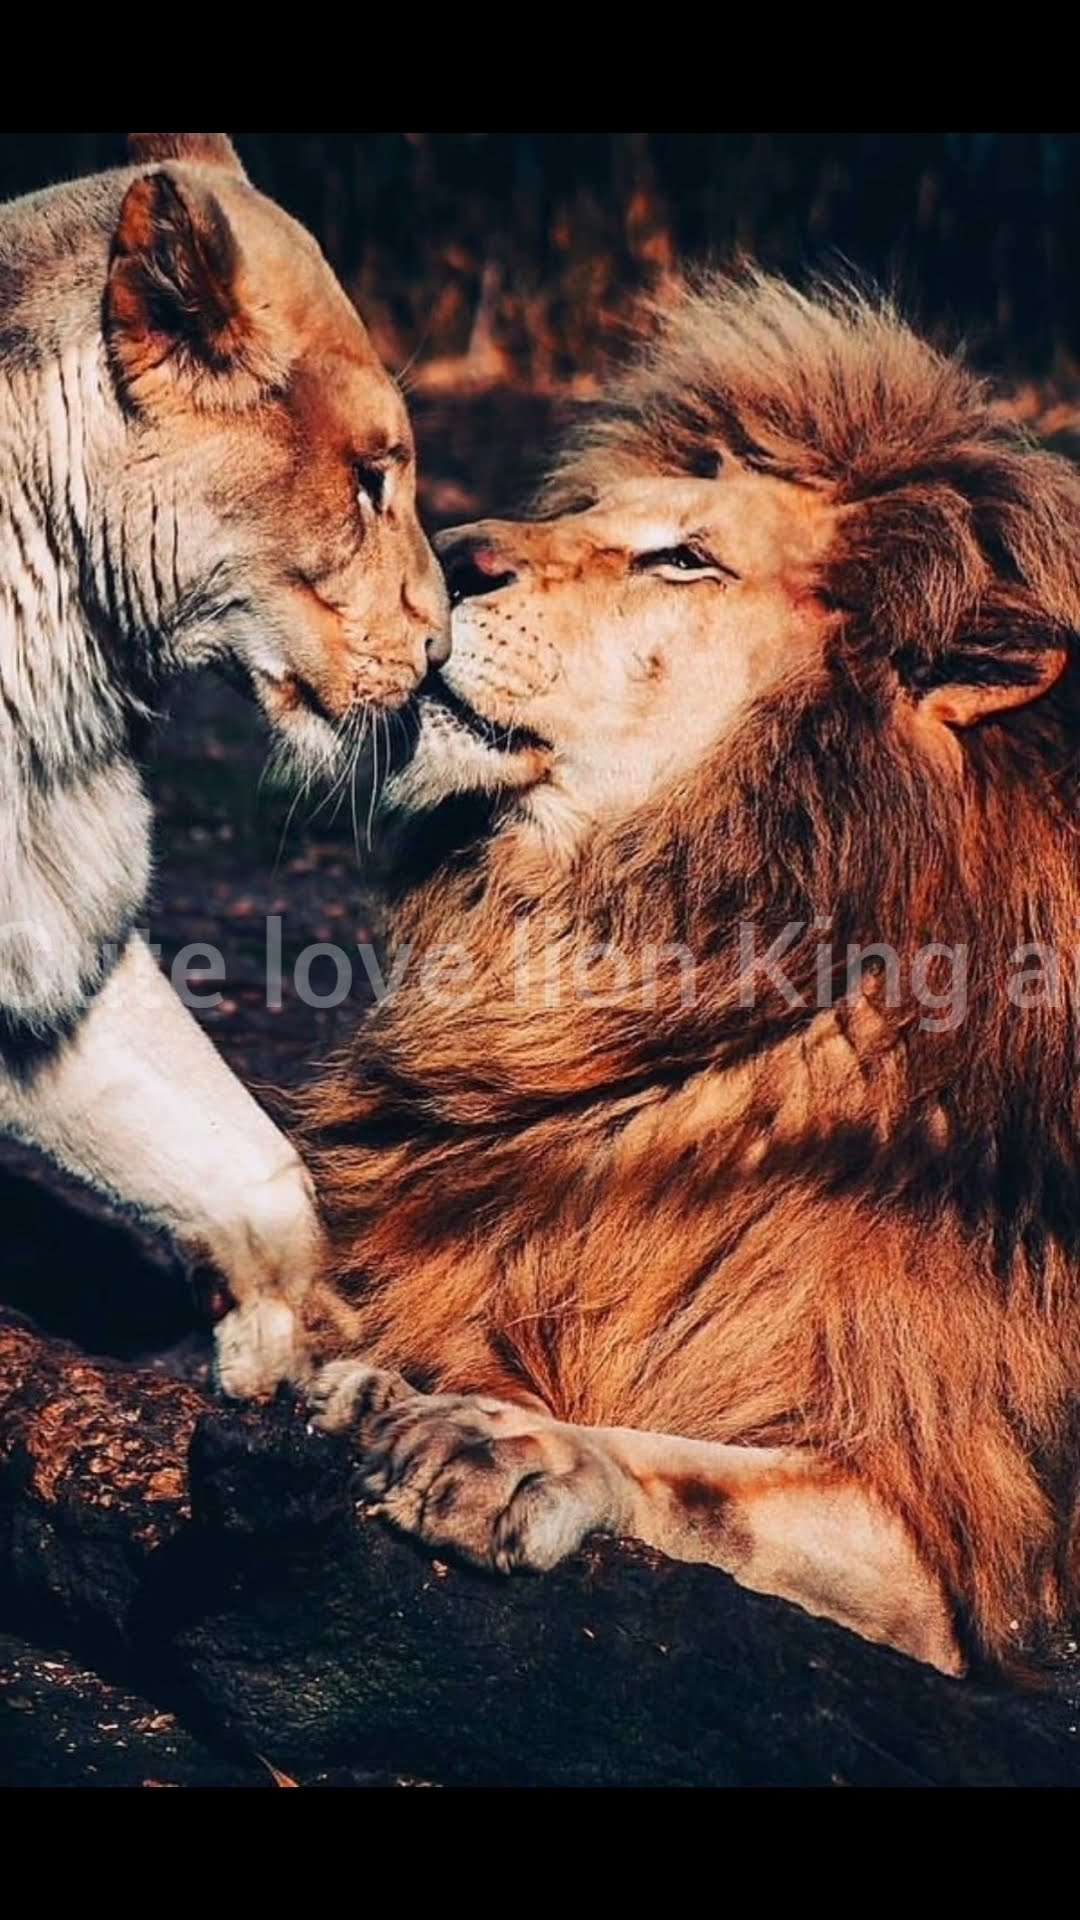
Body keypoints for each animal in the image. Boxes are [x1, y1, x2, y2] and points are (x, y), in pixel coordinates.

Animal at [300, 273, 1080, 1676]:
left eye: (685, 558)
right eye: (584, 514)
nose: (447, 554)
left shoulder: (962, 1552)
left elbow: (705, 1477)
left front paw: (499, 1445)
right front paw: (369, 1380)